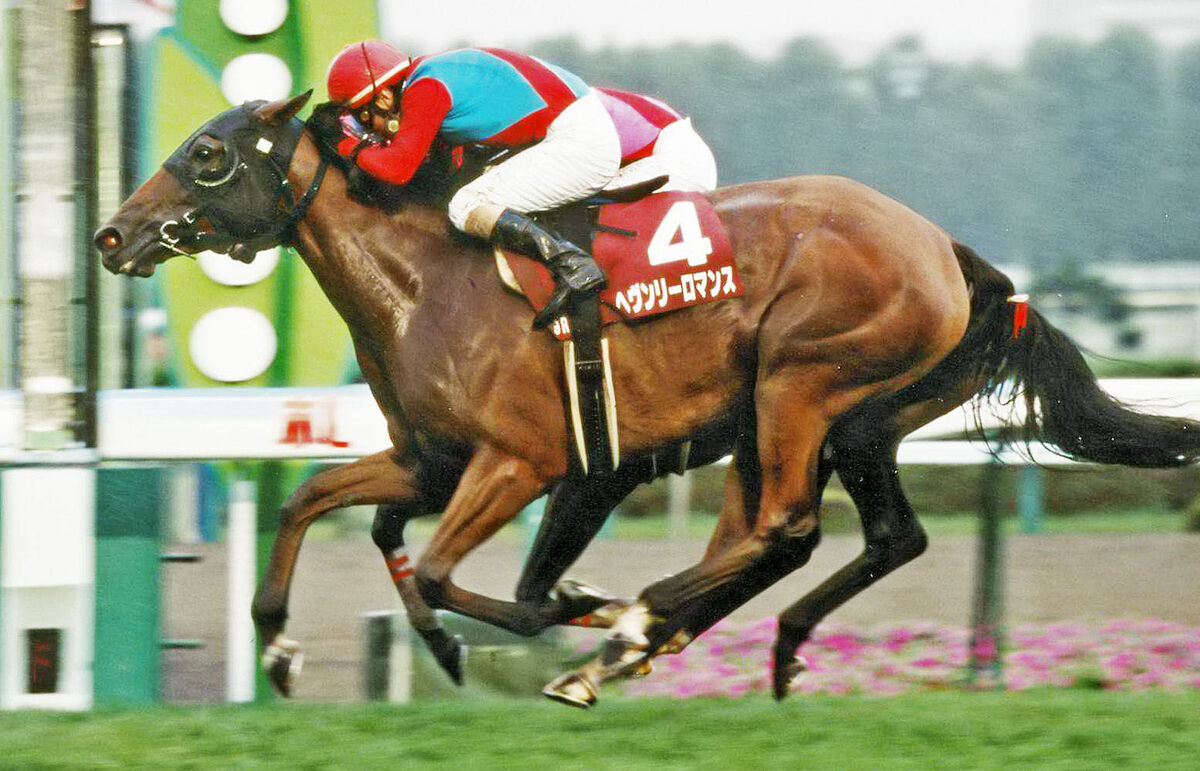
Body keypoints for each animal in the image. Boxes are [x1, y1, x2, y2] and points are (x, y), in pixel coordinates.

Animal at [96, 92, 1200, 707]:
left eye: (206, 152)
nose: (113, 235)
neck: (428, 281)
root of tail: (948, 251)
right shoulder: (430, 459)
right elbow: (311, 499)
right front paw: (281, 648)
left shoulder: (523, 464)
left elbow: (459, 576)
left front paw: (580, 611)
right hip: (850, 421)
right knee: (868, 536)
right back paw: (690, 649)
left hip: (799, 383)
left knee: (784, 527)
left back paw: (635, 630)